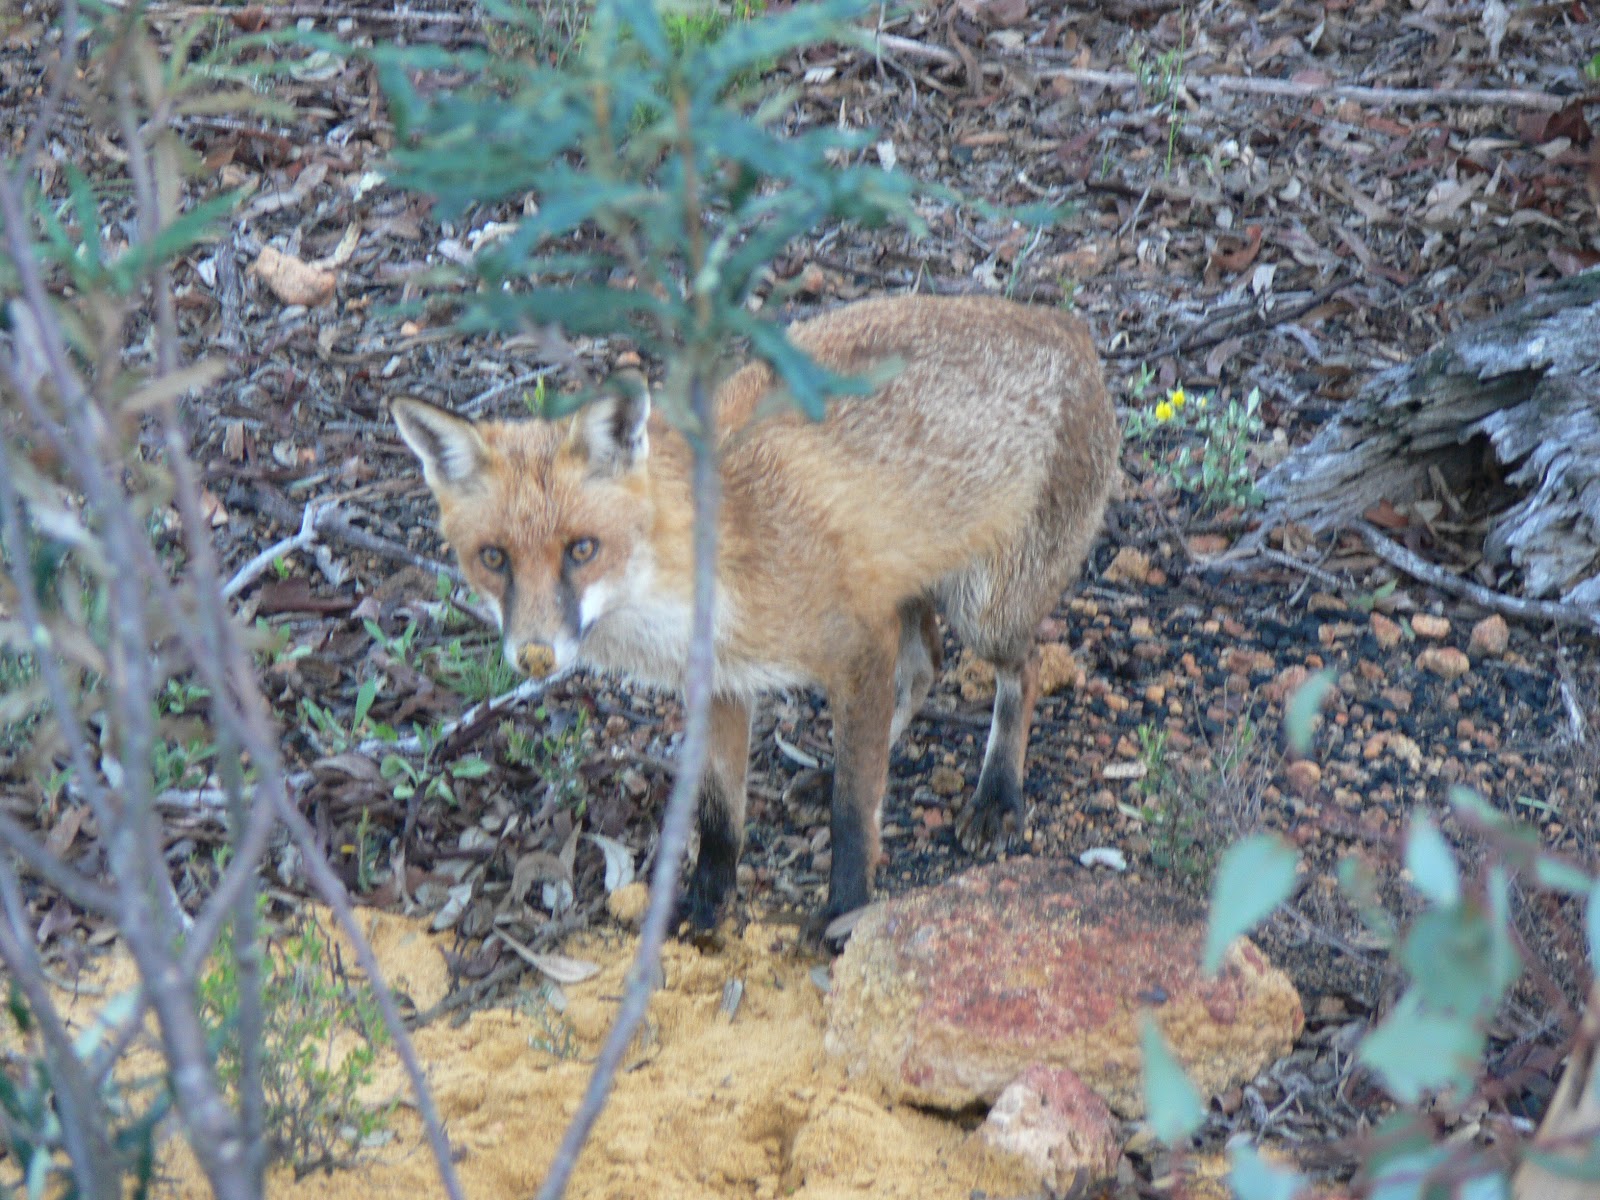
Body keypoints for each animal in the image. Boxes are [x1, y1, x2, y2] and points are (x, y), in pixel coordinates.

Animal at [392, 294, 1119, 936]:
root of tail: (1066, 326)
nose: (535, 655)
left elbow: (852, 816)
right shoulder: (723, 682)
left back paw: (997, 794)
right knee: (923, 668)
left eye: (582, 550)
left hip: (983, 612)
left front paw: (845, 915)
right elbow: (719, 818)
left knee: (1021, 670)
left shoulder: (857, 645)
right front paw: (706, 906)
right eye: (493, 558)